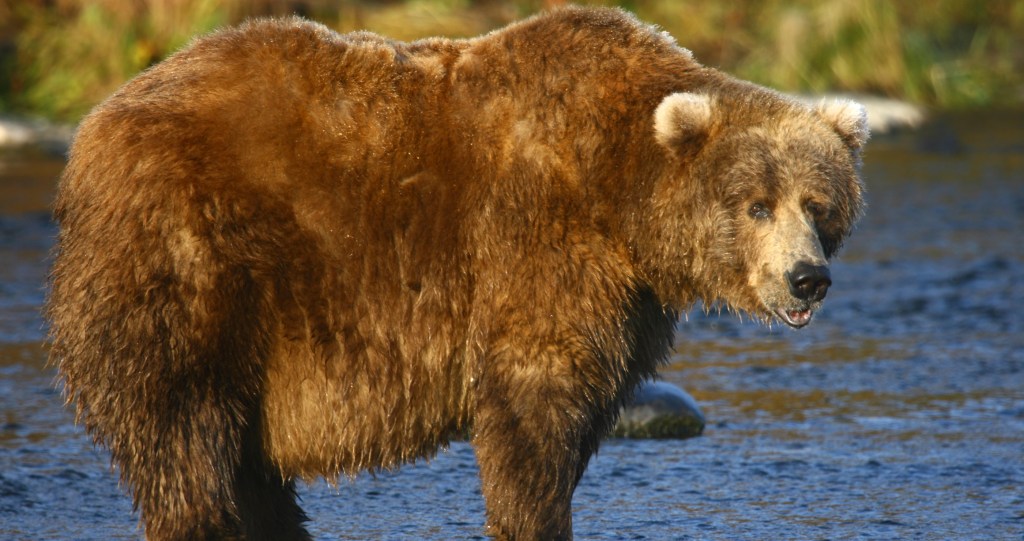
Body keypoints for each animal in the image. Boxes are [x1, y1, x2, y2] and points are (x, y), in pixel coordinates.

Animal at [47, 6, 867, 540]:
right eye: (756, 204)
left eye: (818, 204)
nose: (807, 278)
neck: (622, 197)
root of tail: (94, 125)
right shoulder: (535, 246)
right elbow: (532, 404)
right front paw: (532, 515)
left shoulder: (626, 304)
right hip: (194, 264)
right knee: (186, 432)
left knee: (243, 461)